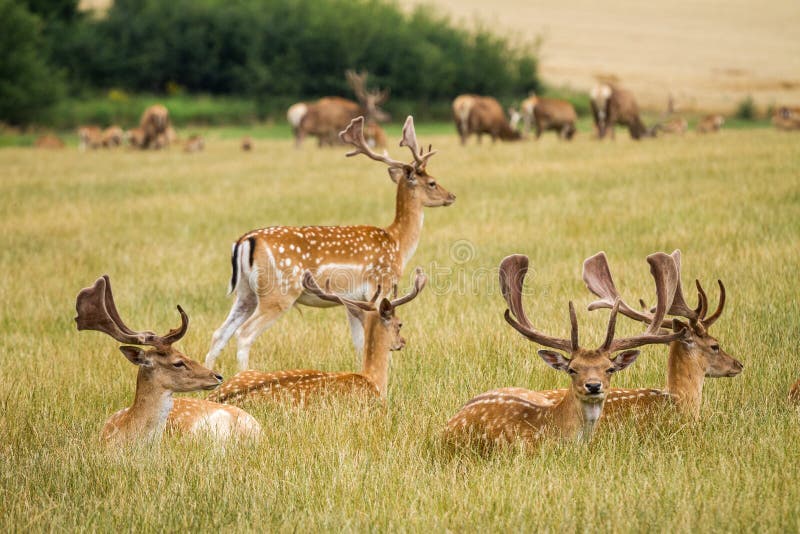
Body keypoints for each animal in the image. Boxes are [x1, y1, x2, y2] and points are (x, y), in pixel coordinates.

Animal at [204, 115, 455, 371]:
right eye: (432, 182)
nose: (451, 196)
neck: (398, 242)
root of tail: (245, 241)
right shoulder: (380, 285)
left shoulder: (354, 301)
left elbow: (359, 342)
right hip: (278, 292)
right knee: (244, 334)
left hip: (245, 292)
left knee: (219, 334)